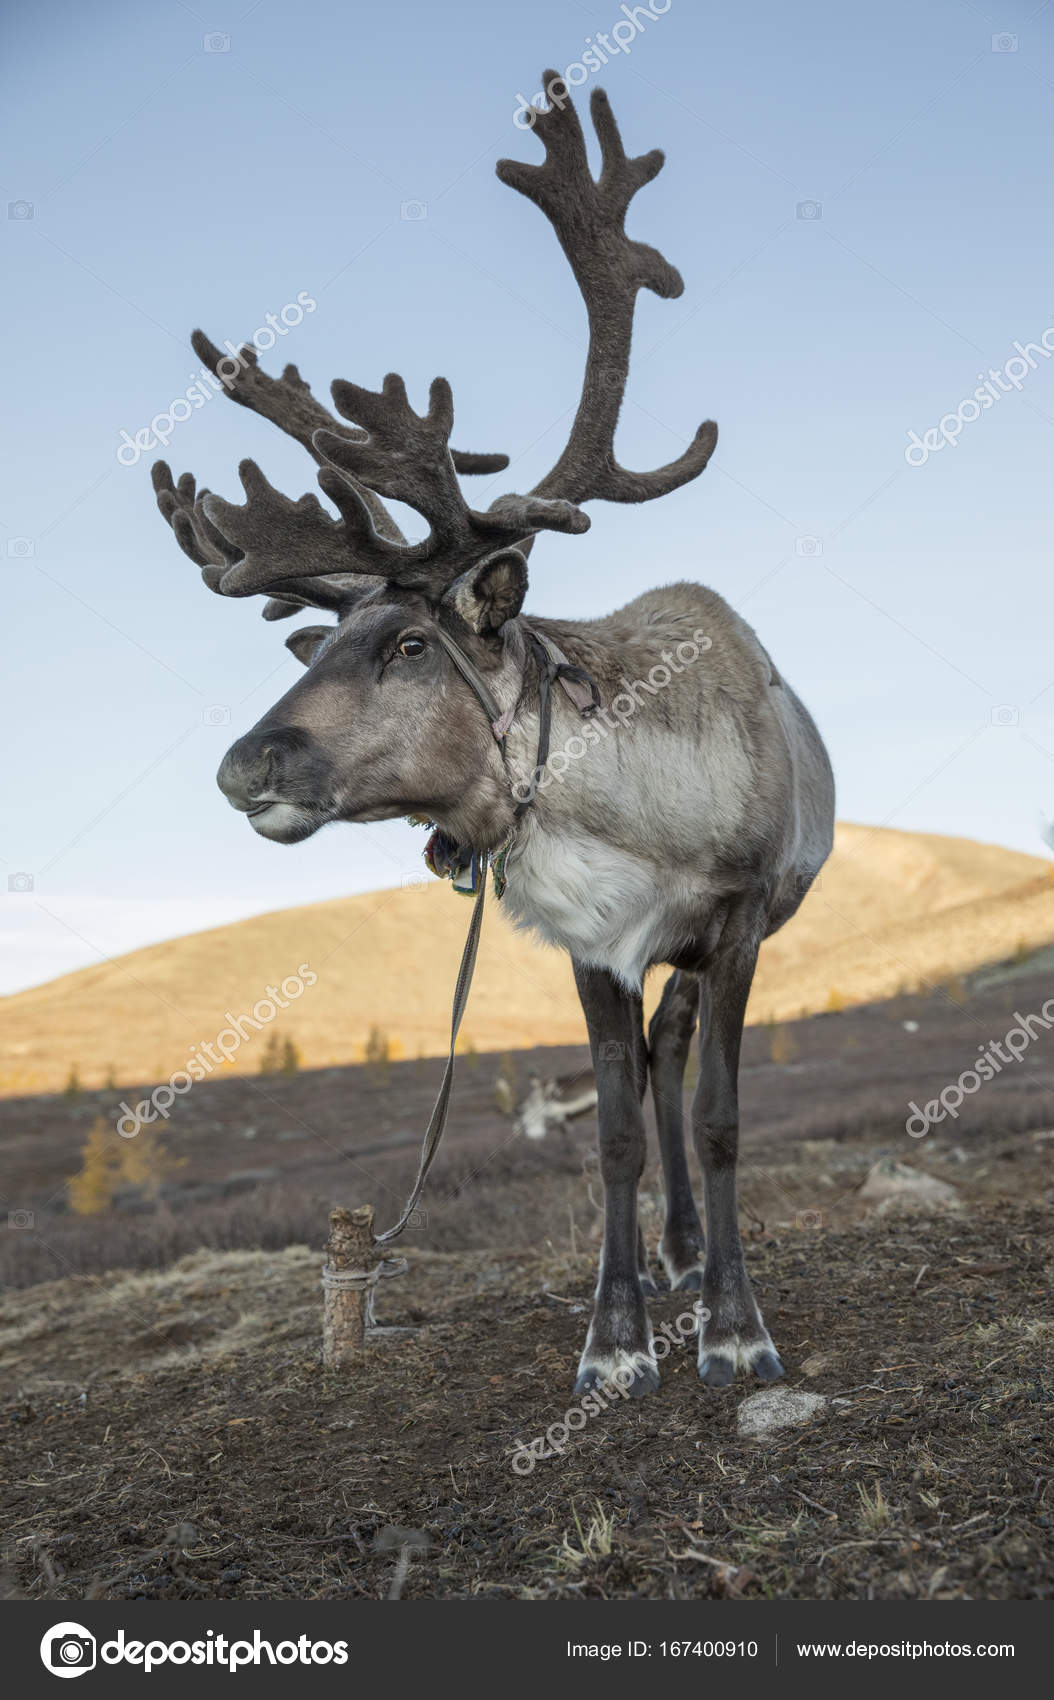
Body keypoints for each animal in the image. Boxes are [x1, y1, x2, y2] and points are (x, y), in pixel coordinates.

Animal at [151, 72, 834, 1398]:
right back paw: (673, 1253)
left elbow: (724, 1118)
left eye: (412, 644)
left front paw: (736, 1327)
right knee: (658, 1060)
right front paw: (614, 1338)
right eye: (316, 642)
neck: (624, 812)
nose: (240, 766)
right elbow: (613, 1129)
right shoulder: (595, 946)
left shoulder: (732, 926)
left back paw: (699, 1261)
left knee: (685, 1058)